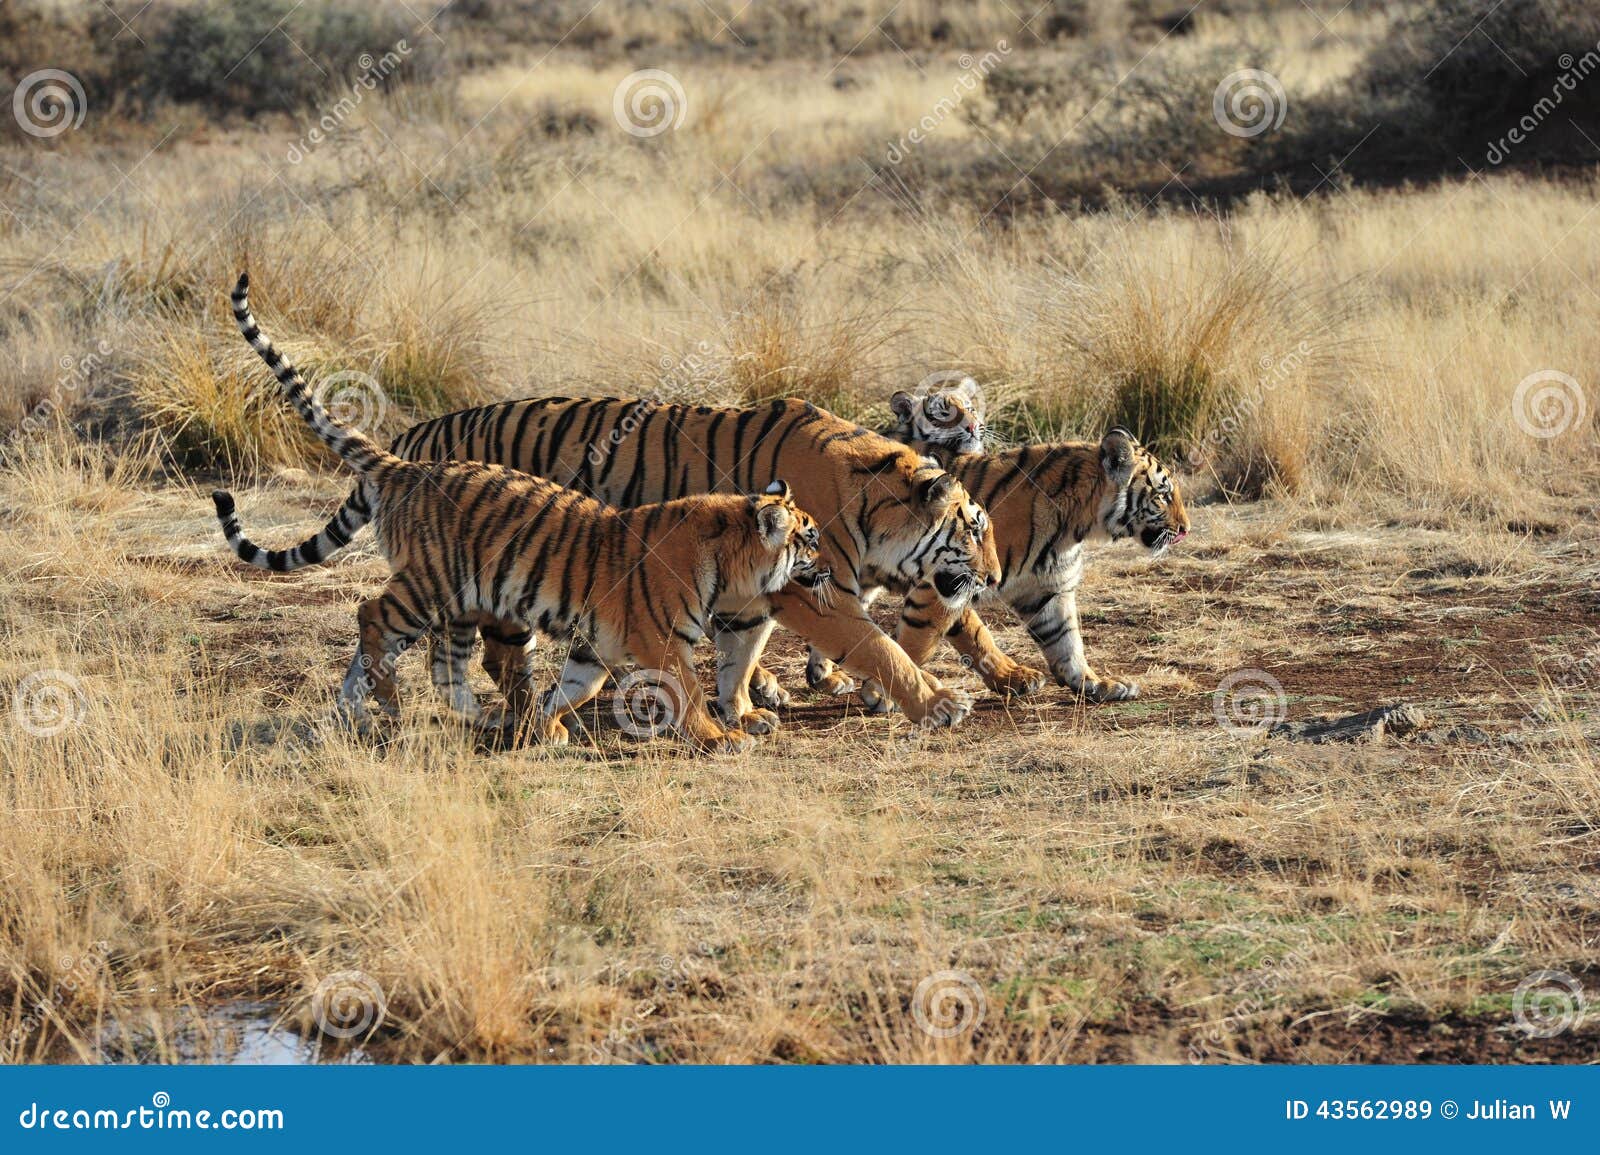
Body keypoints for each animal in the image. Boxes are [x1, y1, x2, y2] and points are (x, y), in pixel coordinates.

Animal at [214, 273, 823, 753]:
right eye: (810, 540)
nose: (830, 568)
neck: (725, 556)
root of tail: (404, 465)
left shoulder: (596, 643)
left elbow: (575, 686)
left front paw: (542, 725)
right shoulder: (663, 641)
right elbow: (687, 691)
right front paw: (723, 737)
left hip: (461, 601)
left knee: (440, 663)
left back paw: (409, 713)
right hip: (432, 582)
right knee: (373, 618)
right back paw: (389, 703)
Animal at [214, 328, 1001, 732]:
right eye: (975, 528)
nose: (994, 577)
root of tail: (410, 439)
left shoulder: (759, 595)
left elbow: (744, 653)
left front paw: (749, 706)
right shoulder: (810, 589)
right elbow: (879, 647)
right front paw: (935, 702)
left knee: (459, 649)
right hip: (487, 575)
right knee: (477, 650)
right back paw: (515, 712)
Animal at [804, 399, 1189, 707]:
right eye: (1163, 495)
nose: (1185, 529)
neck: (1076, 525)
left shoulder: (1047, 590)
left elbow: (1067, 641)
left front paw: (1096, 684)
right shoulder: (942, 583)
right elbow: (927, 638)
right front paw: (883, 694)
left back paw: (824, 677)